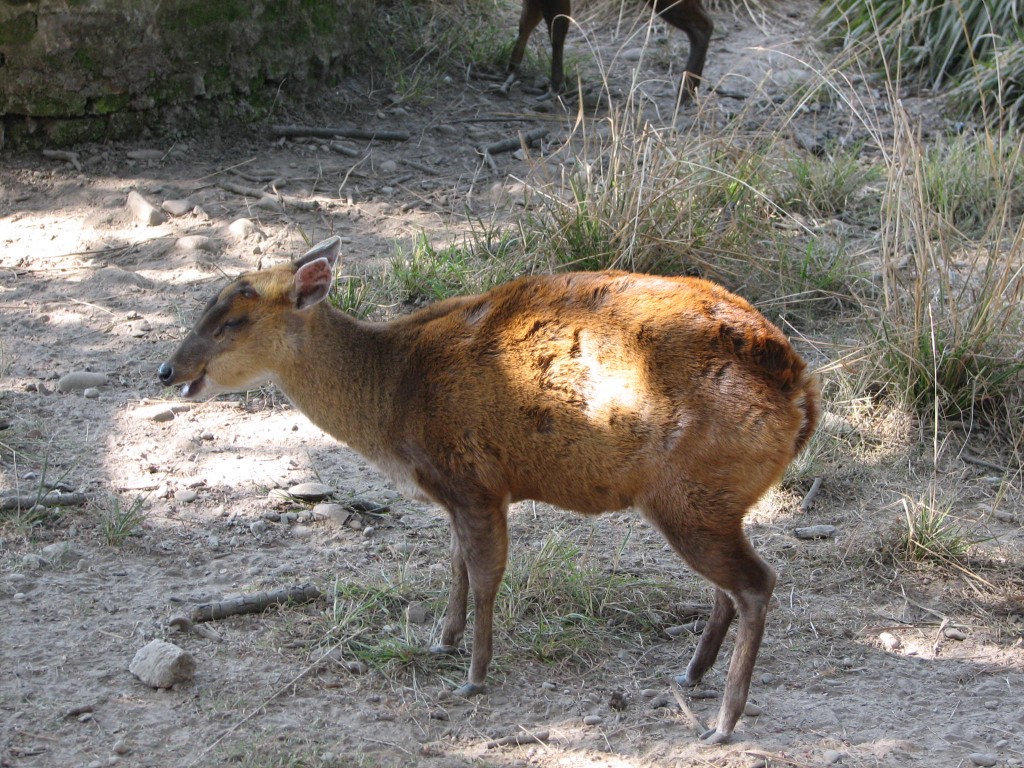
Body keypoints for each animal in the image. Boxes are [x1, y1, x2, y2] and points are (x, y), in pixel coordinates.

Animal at [158, 236, 819, 743]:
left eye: (234, 321)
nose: (167, 371)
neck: (393, 394)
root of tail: (800, 391)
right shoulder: (457, 492)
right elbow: (454, 564)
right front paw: (441, 642)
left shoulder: (475, 479)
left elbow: (483, 574)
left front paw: (474, 675)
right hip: (711, 500)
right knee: (730, 586)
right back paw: (691, 674)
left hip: (688, 492)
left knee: (757, 582)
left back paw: (723, 722)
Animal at [504, 0, 713, 102]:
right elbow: (526, 21)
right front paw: (511, 72)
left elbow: (557, 27)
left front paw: (555, 87)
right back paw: (690, 89)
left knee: (703, 25)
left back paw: (684, 94)